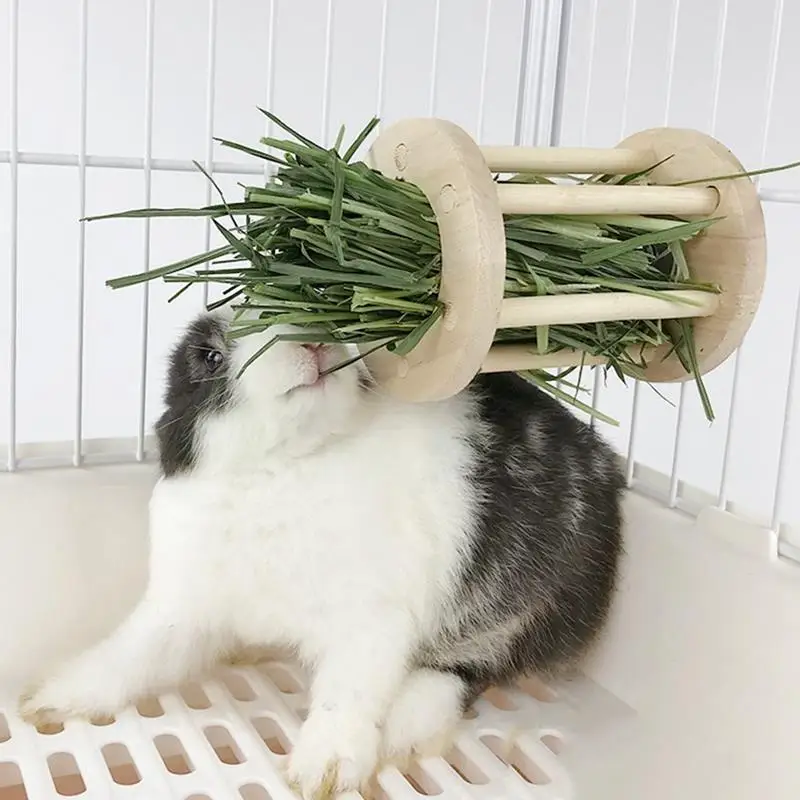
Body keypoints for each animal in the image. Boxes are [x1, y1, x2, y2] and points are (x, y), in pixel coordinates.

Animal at [20, 311, 624, 799]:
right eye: (210, 357)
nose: (311, 341)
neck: (286, 466)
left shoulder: (370, 622)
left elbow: (346, 694)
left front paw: (323, 772)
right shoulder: (183, 611)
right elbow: (127, 658)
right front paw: (45, 702)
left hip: (519, 613)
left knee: (471, 671)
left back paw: (403, 723)